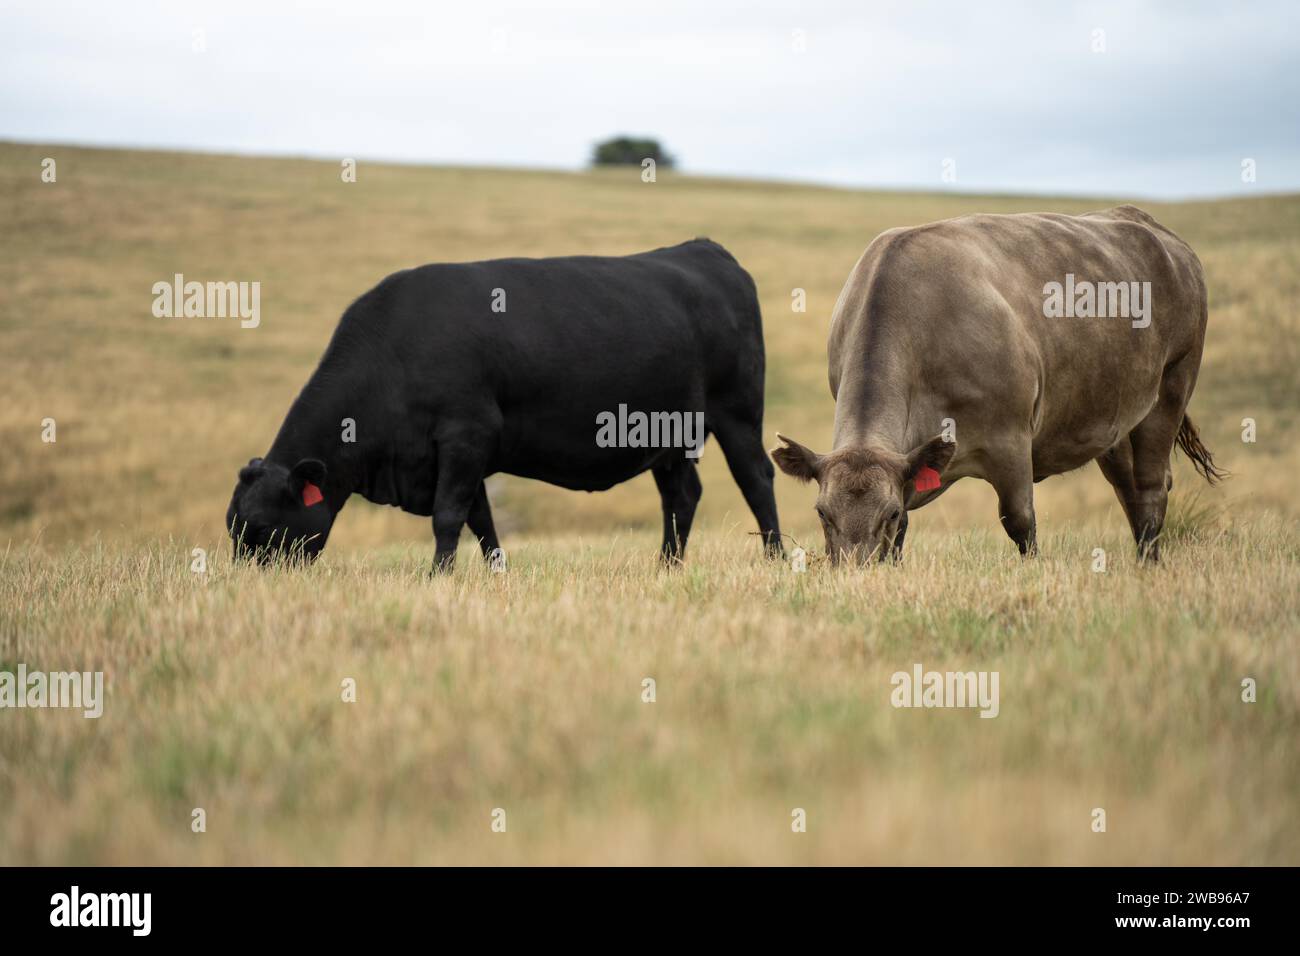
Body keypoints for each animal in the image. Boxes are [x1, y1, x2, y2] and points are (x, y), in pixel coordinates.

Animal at [226, 239, 783, 569]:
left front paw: (437, 579)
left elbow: (449, 516)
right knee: (682, 495)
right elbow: (481, 520)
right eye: (233, 528)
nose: (245, 584)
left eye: (263, 530)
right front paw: (494, 575)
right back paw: (667, 566)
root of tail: (702, 249)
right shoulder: (454, 453)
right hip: (669, 434)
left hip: (737, 413)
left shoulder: (465, 435)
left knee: (756, 478)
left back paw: (775, 557)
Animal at [771, 205, 1223, 565]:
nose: (854, 569)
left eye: (889, 512)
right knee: (1127, 484)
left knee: (1151, 484)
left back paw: (1151, 564)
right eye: (821, 513)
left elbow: (1020, 523)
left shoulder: (1011, 440)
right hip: (1115, 418)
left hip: (1174, 382)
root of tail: (1148, 224)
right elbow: (900, 539)